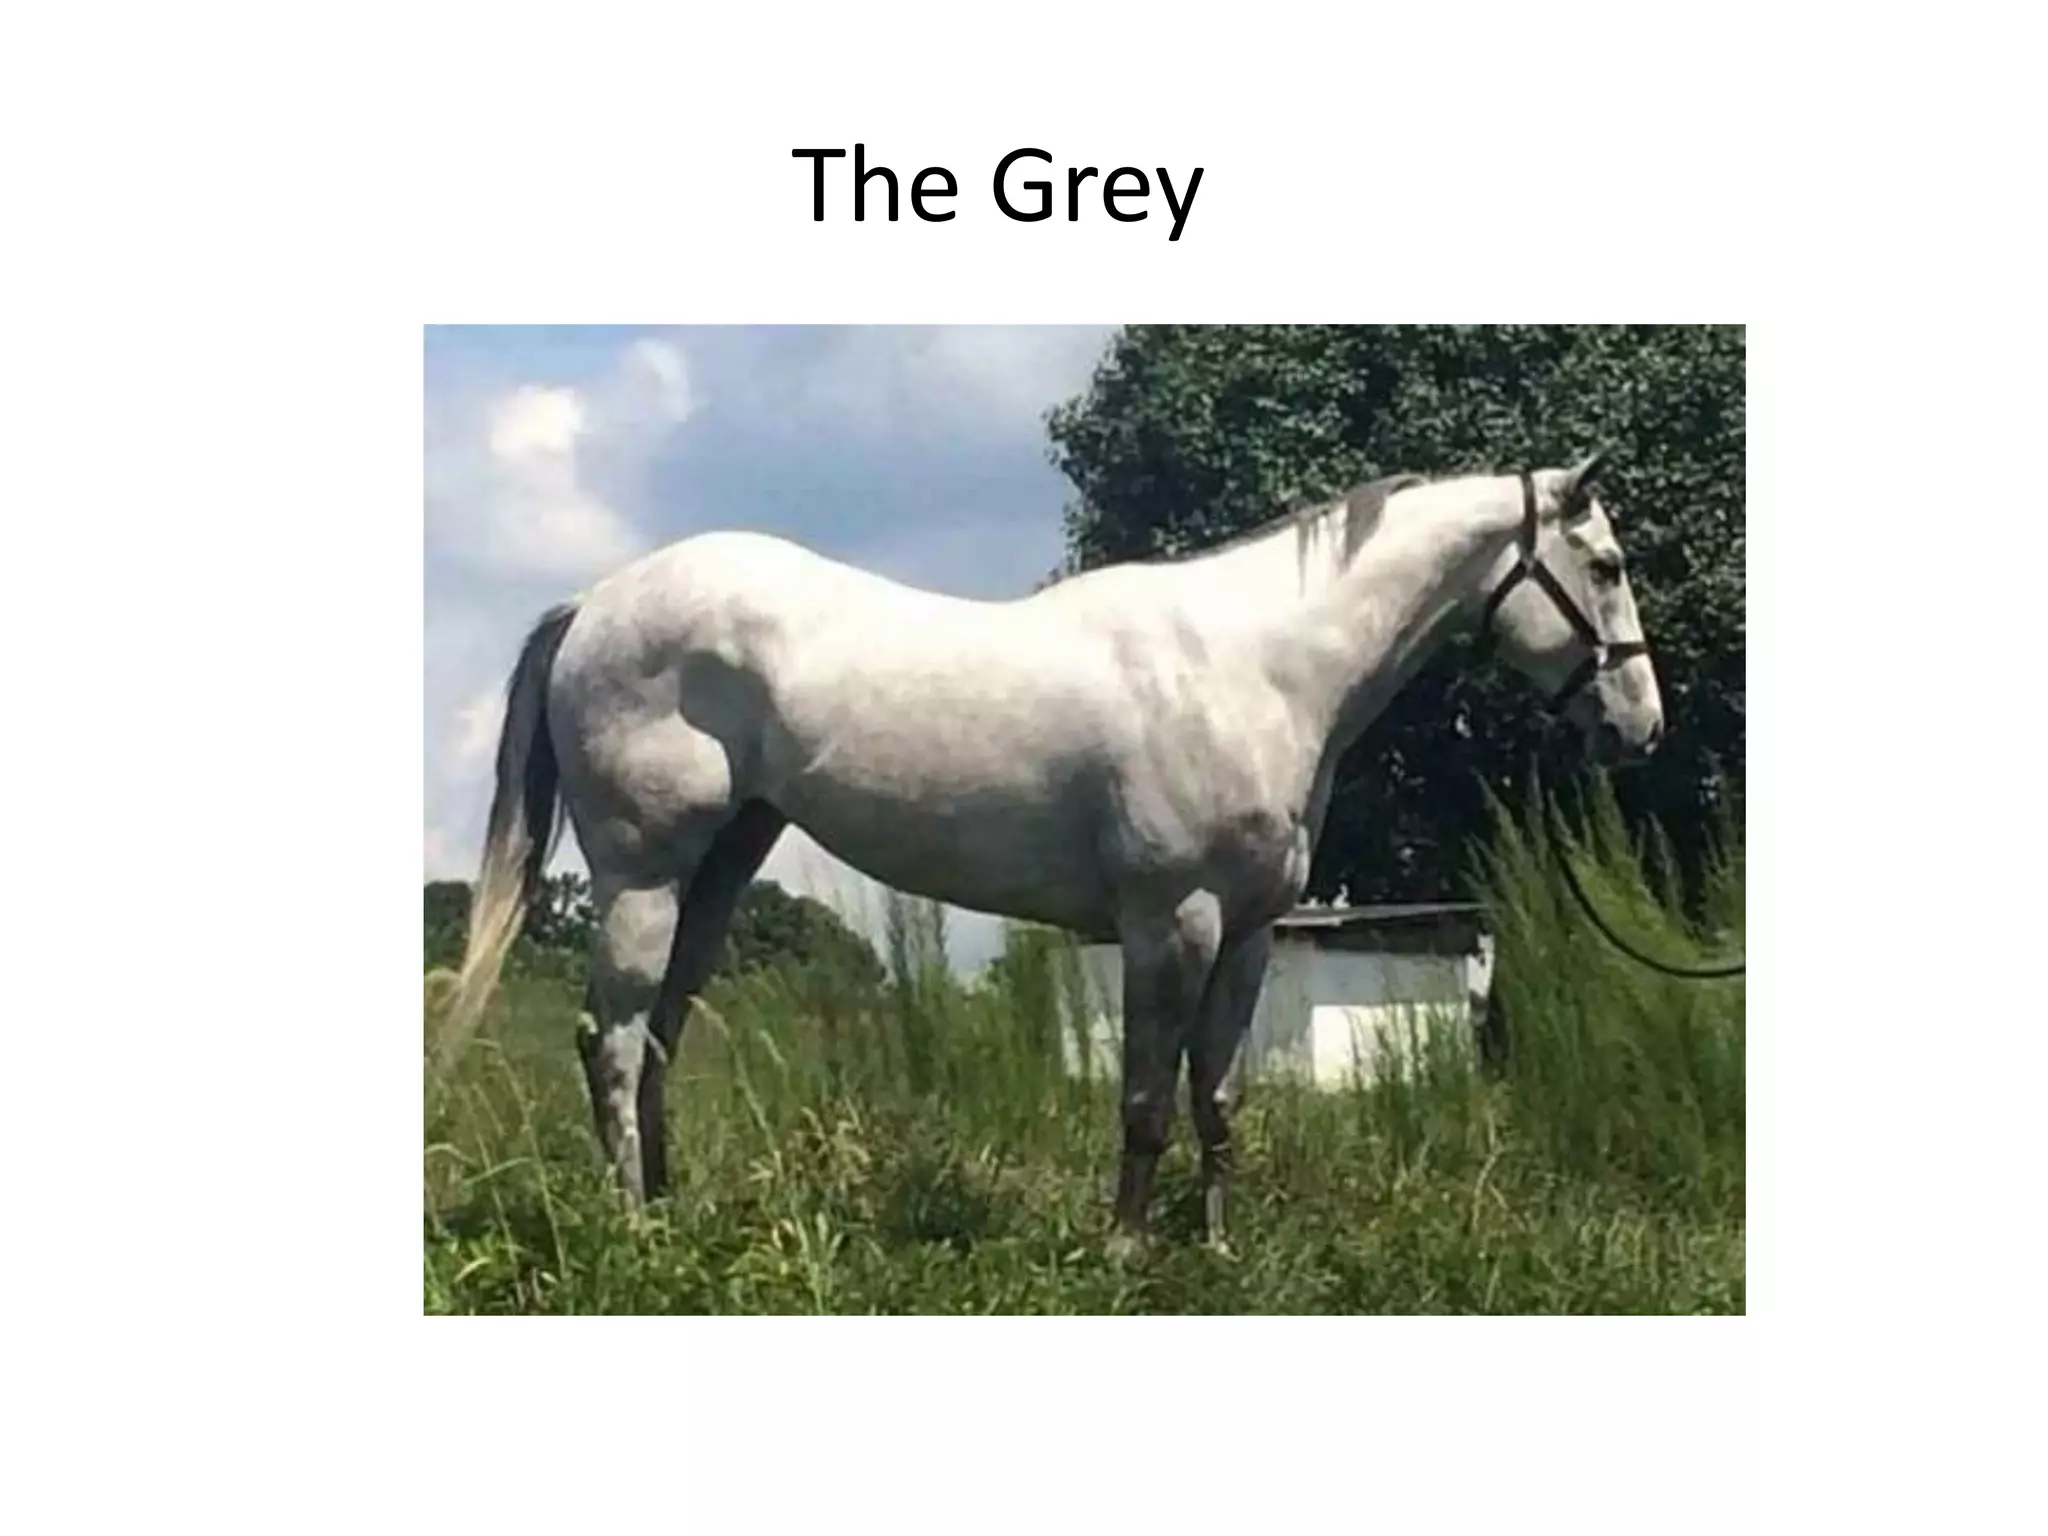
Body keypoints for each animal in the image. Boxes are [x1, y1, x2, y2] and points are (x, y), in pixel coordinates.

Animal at [445, 454, 1663, 1250]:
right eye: (1603, 564)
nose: (1638, 728)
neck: (1256, 667)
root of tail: (596, 604)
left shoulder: (1251, 935)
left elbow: (1218, 1097)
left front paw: (1216, 1249)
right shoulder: (1168, 923)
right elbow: (1145, 1098)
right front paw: (1123, 1252)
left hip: (723, 867)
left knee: (659, 1036)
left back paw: (671, 1204)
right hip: (644, 876)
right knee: (611, 1040)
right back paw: (633, 1226)